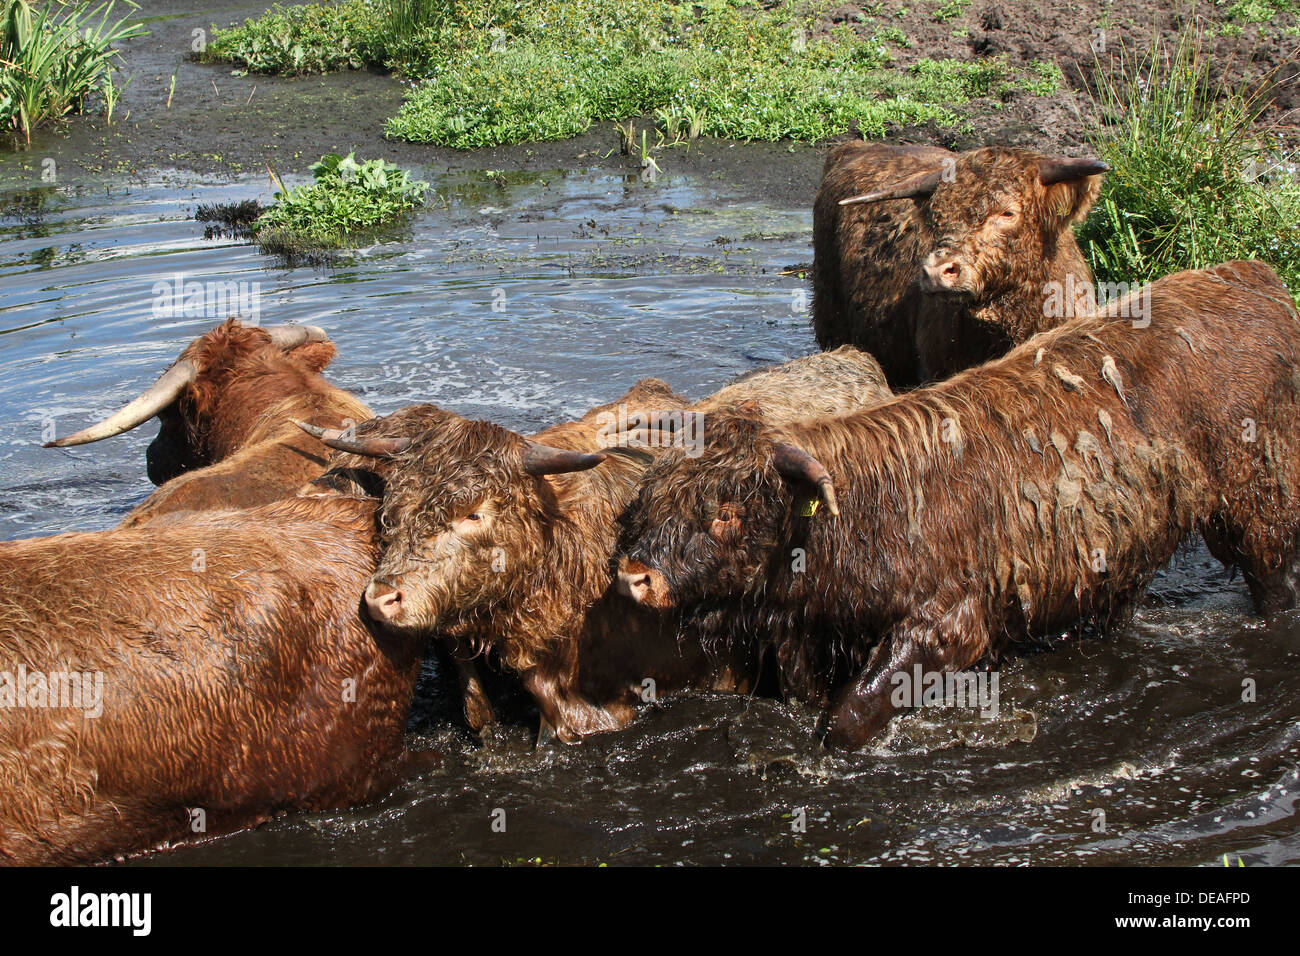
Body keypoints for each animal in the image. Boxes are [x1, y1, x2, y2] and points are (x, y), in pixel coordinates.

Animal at [616, 261, 1300, 750]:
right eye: (649, 500)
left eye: (725, 514)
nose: (634, 576)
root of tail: (1255, 277)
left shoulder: (951, 618)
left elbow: (849, 716)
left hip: (1259, 497)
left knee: (1273, 575)